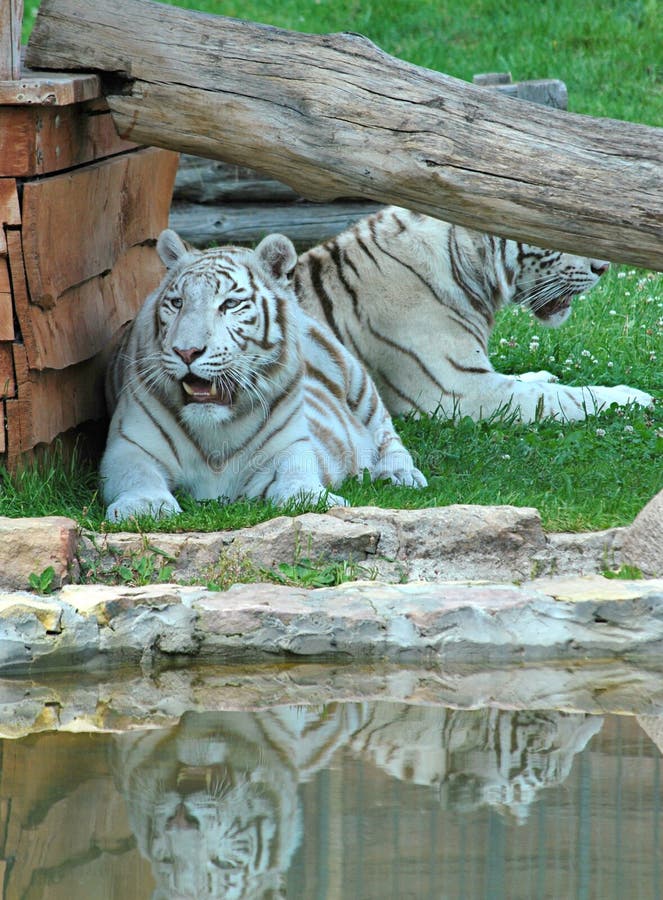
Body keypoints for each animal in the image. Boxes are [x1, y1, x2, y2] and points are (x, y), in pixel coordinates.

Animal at [101, 229, 426, 521]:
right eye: (177, 303)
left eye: (230, 304)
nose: (187, 352)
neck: (215, 432)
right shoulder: (129, 445)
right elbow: (138, 474)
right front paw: (146, 506)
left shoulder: (290, 447)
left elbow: (298, 475)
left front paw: (312, 498)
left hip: (356, 380)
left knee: (385, 430)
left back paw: (401, 474)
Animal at [294, 207, 654, 422]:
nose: (603, 267)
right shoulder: (459, 390)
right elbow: (558, 397)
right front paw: (632, 396)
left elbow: (531, 382)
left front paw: (543, 373)